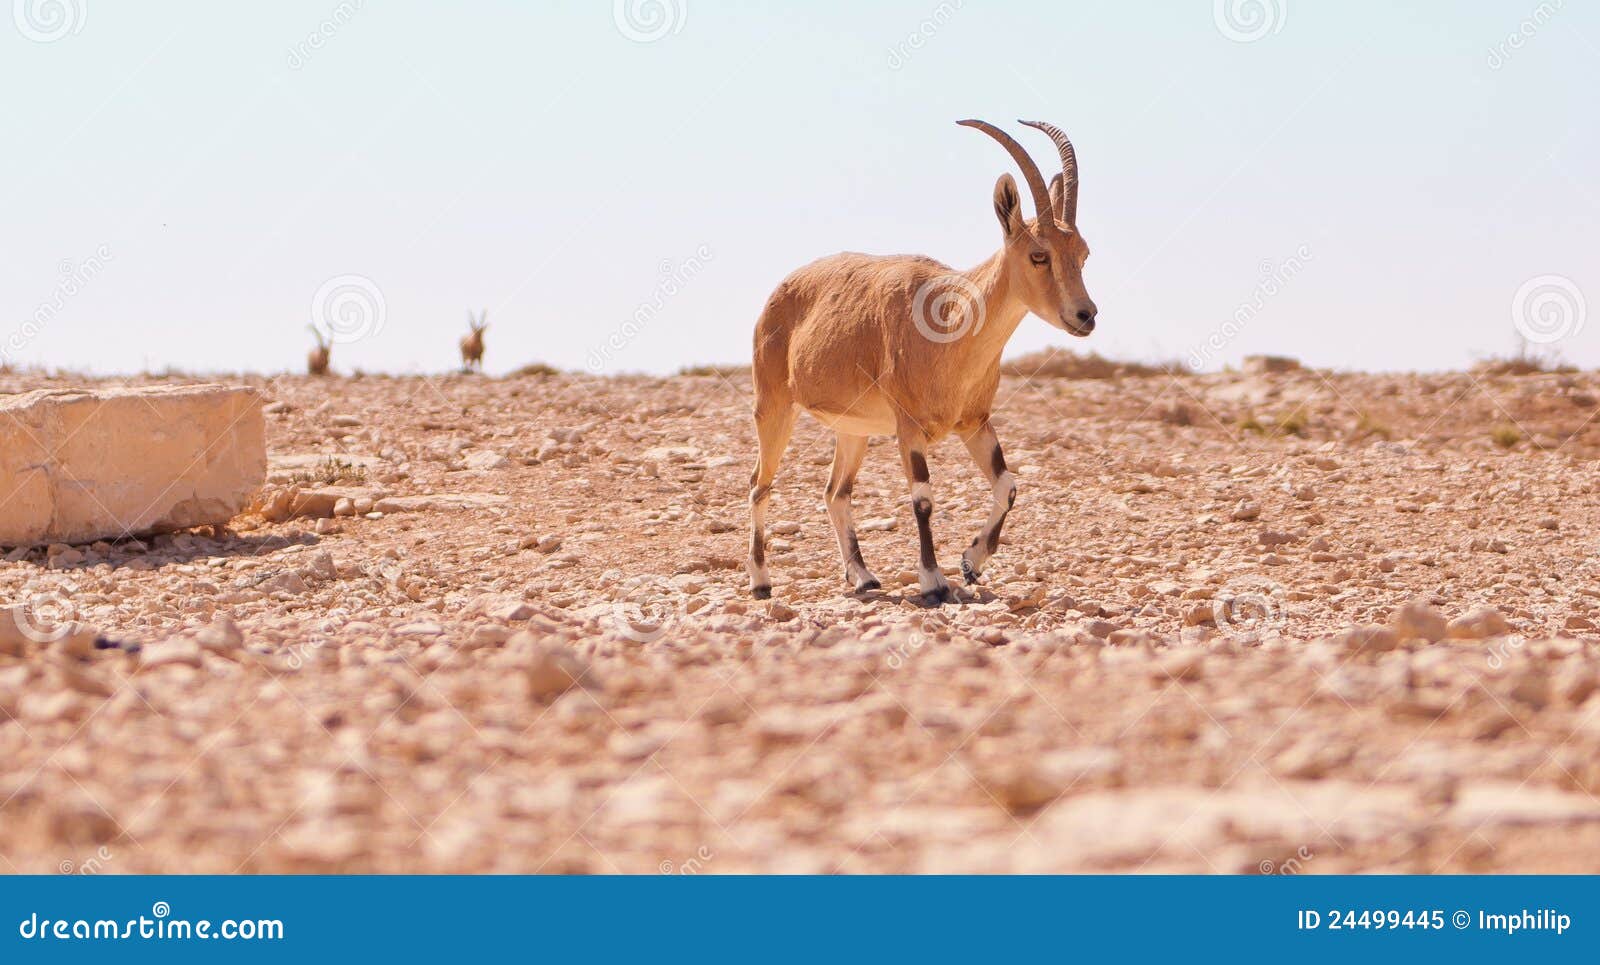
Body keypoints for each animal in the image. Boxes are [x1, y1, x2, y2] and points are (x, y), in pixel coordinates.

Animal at [746, 119, 1097, 605]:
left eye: (1083, 253)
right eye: (1039, 255)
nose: (1086, 315)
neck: (951, 321)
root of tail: (778, 292)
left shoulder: (974, 422)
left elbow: (1007, 485)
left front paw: (972, 563)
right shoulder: (909, 426)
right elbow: (923, 498)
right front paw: (934, 581)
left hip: (853, 429)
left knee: (835, 492)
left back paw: (863, 576)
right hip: (774, 405)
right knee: (759, 485)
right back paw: (761, 581)